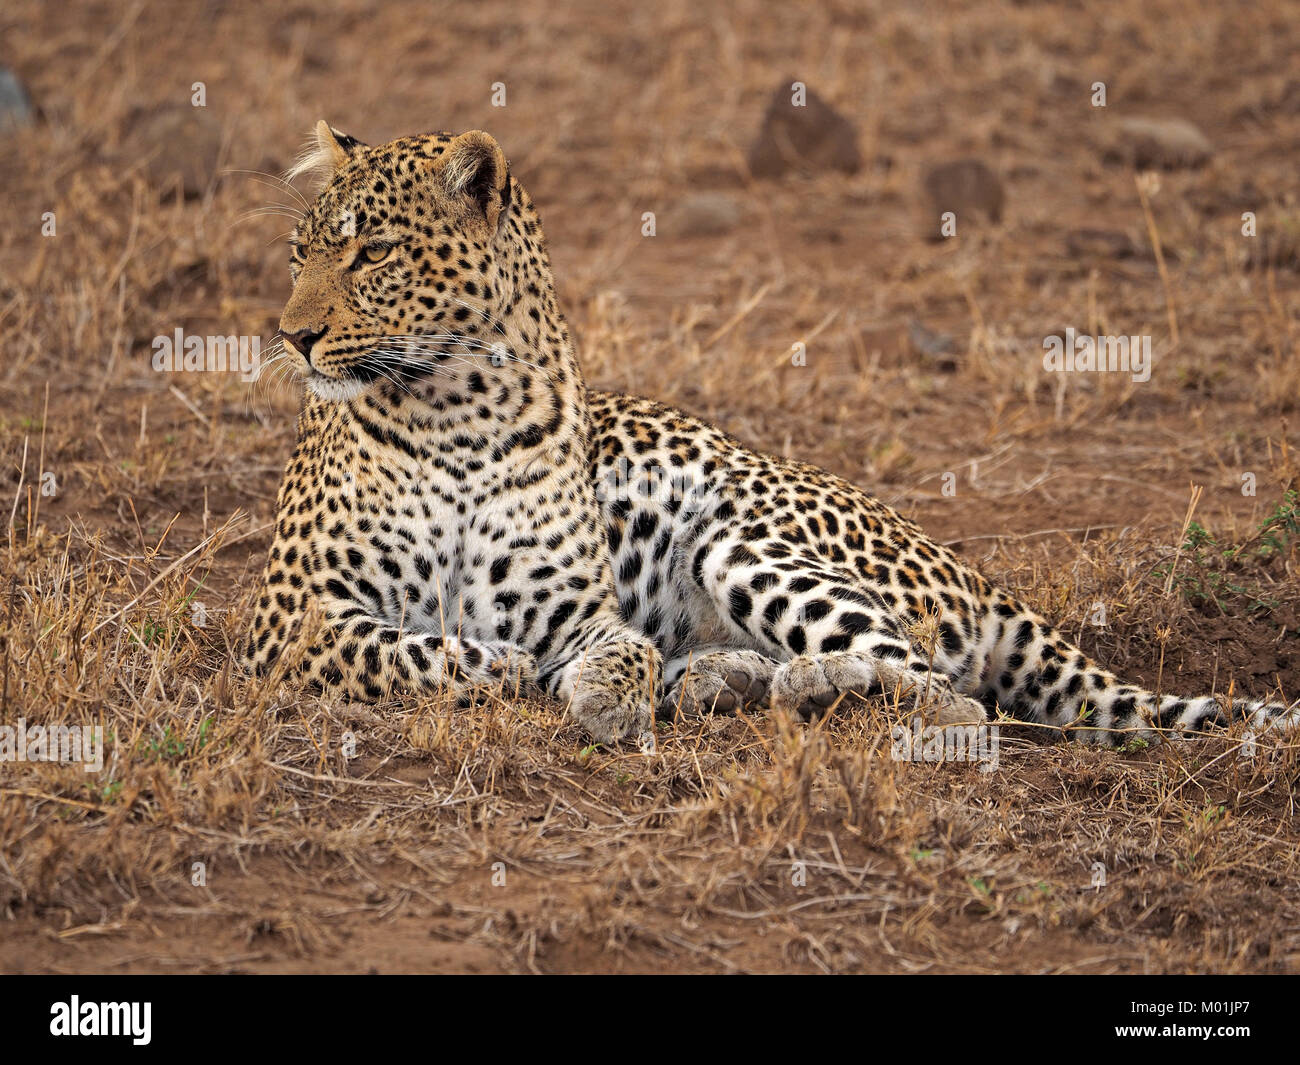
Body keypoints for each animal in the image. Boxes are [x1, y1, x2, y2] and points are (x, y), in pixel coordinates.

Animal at [244, 121, 1300, 749]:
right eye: (298, 253)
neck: (456, 408)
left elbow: (613, 649)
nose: (292, 335)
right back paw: (736, 680)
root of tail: (971, 568)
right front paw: (507, 669)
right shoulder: (291, 616)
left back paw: (808, 687)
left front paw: (597, 696)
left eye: (372, 252)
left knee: (945, 688)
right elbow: (417, 648)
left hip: (737, 537)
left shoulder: (582, 615)